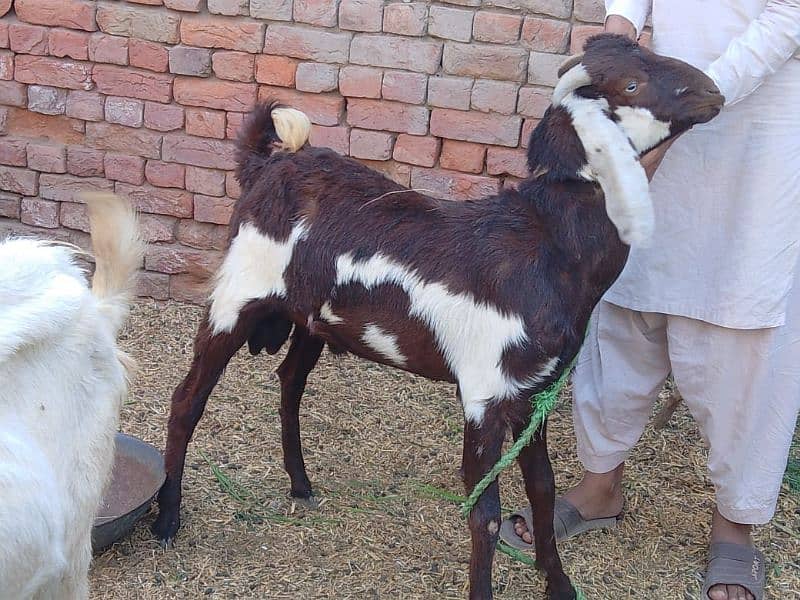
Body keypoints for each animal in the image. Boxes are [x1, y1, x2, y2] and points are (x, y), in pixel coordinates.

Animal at [152, 34, 723, 599]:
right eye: (631, 84)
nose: (713, 91)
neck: (548, 244)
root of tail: (264, 165)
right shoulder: (483, 393)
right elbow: (484, 514)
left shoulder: (532, 392)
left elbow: (542, 488)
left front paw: (559, 584)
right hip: (236, 298)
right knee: (187, 399)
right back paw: (166, 521)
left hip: (313, 317)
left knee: (289, 380)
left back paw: (300, 483)